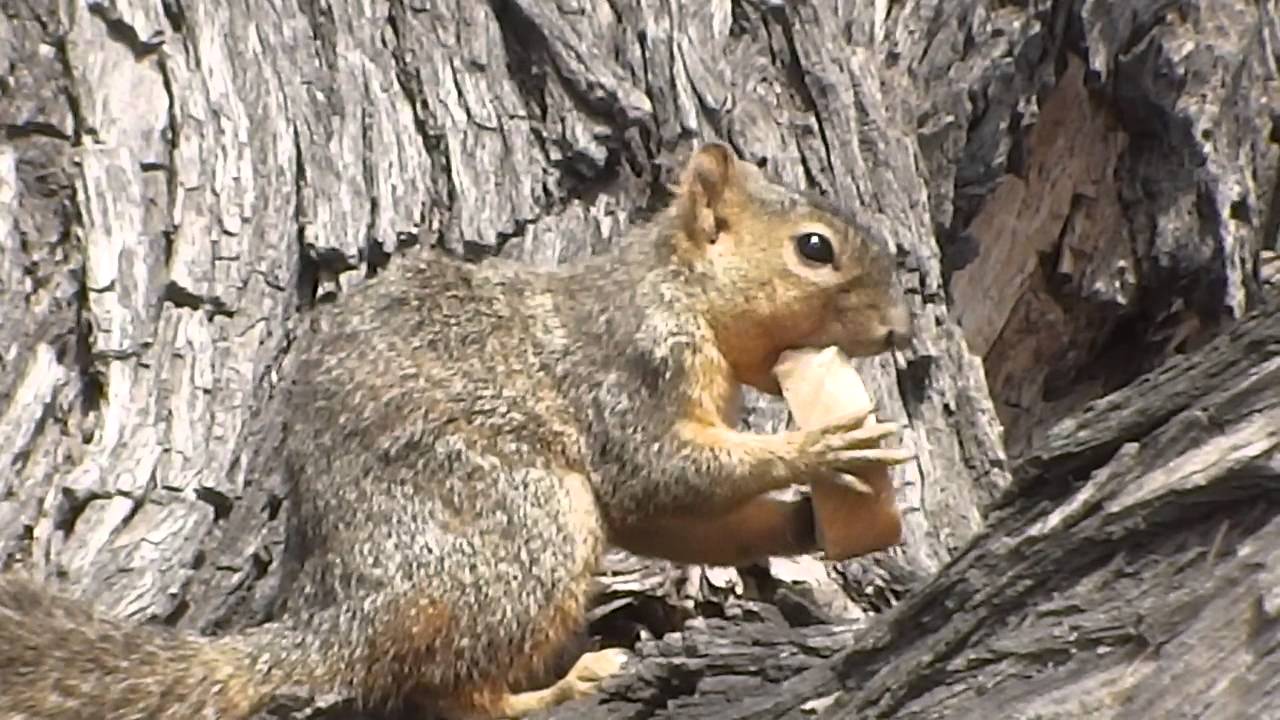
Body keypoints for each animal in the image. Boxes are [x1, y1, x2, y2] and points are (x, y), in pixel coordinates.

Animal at [0, 142, 913, 720]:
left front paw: (807, 522)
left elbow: (671, 519)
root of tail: (343, 621)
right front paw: (822, 448)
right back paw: (559, 688)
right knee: (450, 697)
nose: (900, 329)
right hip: (527, 526)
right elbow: (661, 473)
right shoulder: (630, 371)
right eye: (815, 249)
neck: (680, 291)